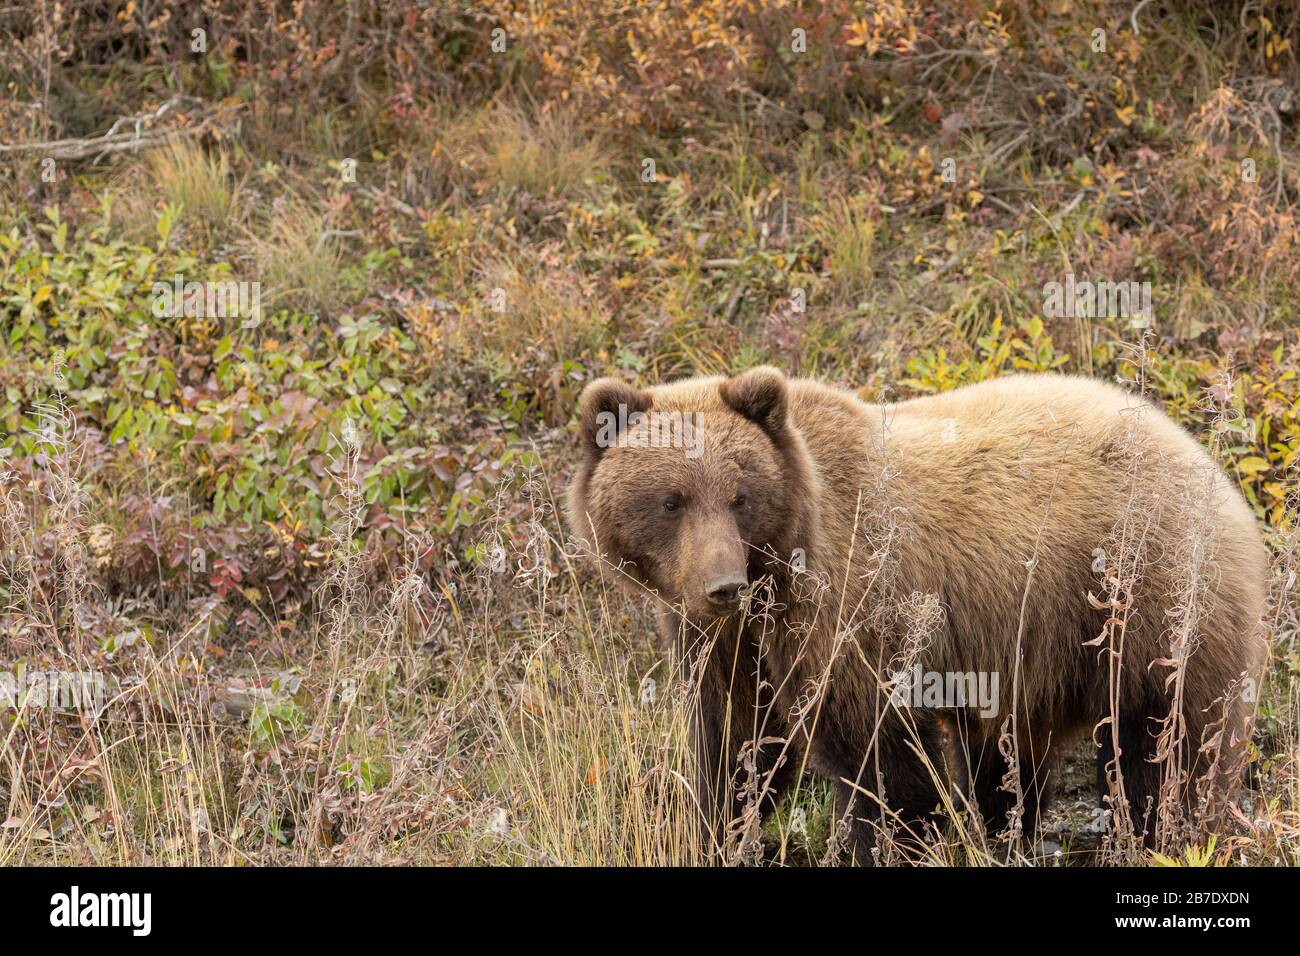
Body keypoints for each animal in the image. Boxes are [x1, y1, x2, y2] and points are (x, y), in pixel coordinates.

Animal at [565, 367, 1268, 861]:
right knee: (1010, 762)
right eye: (671, 500)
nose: (722, 585)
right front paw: (711, 831)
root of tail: (1209, 465)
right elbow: (739, 747)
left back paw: (1161, 837)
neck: (777, 578)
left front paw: (888, 843)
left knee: (1164, 749)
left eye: (740, 495)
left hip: (1147, 602)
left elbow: (883, 765)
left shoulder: (847, 614)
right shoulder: (726, 644)